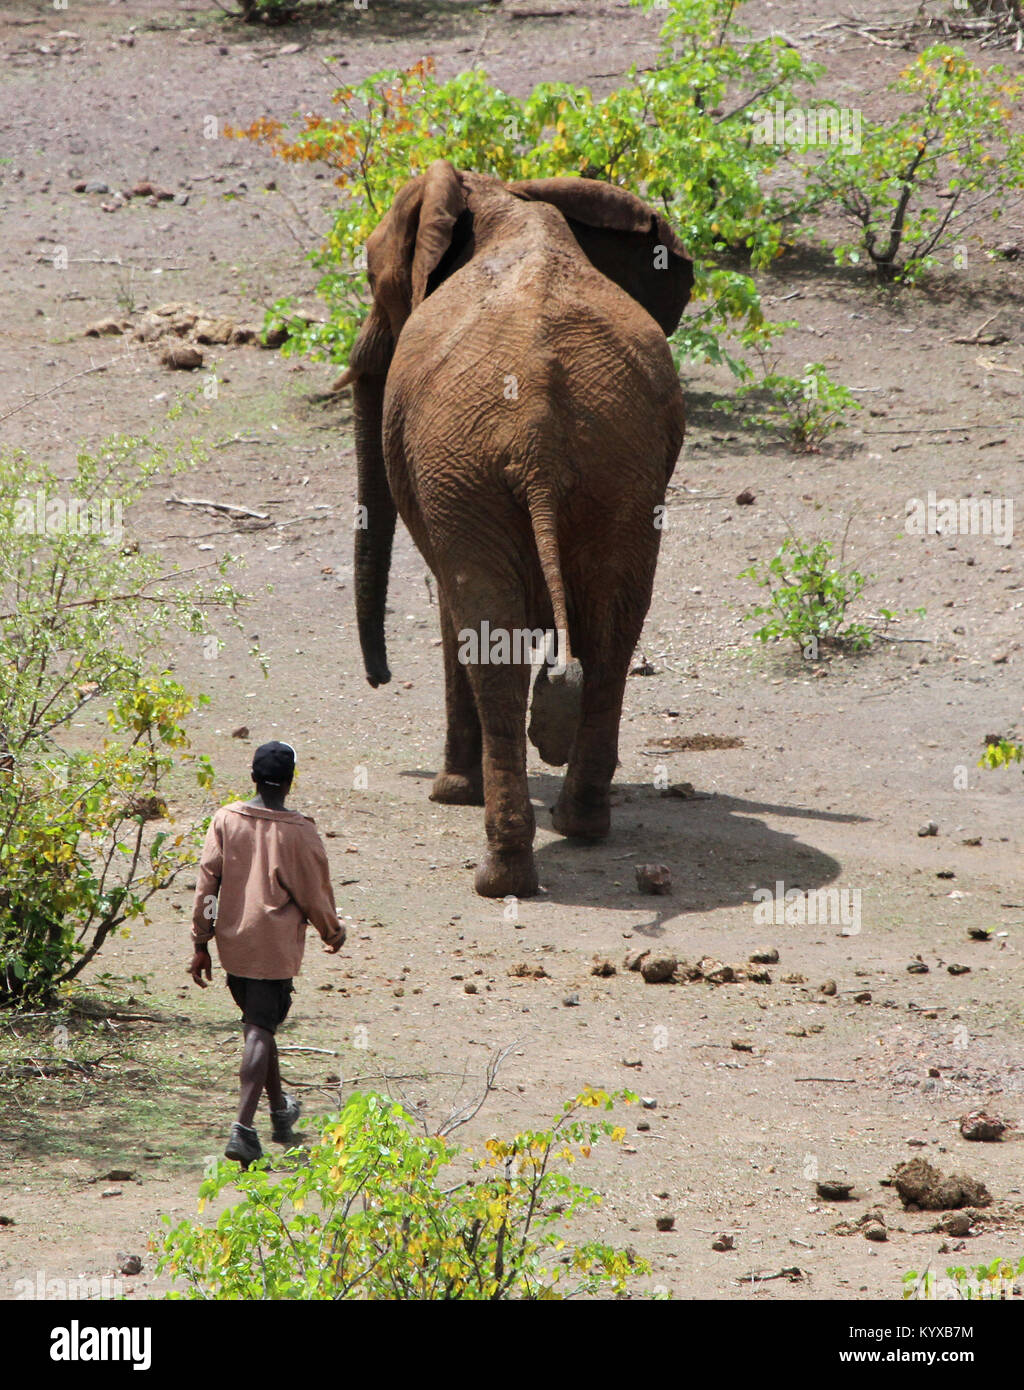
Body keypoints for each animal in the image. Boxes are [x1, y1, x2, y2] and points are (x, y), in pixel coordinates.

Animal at [338, 160, 692, 899]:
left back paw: (499, 875)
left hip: (466, 467)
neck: (509, 196)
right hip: (619, 470)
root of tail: (540, 435)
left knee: (489, 630)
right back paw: (580, 826)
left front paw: (449, 793)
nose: (380, 679)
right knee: (614, 624)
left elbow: (453, 607)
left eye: (373, 278)